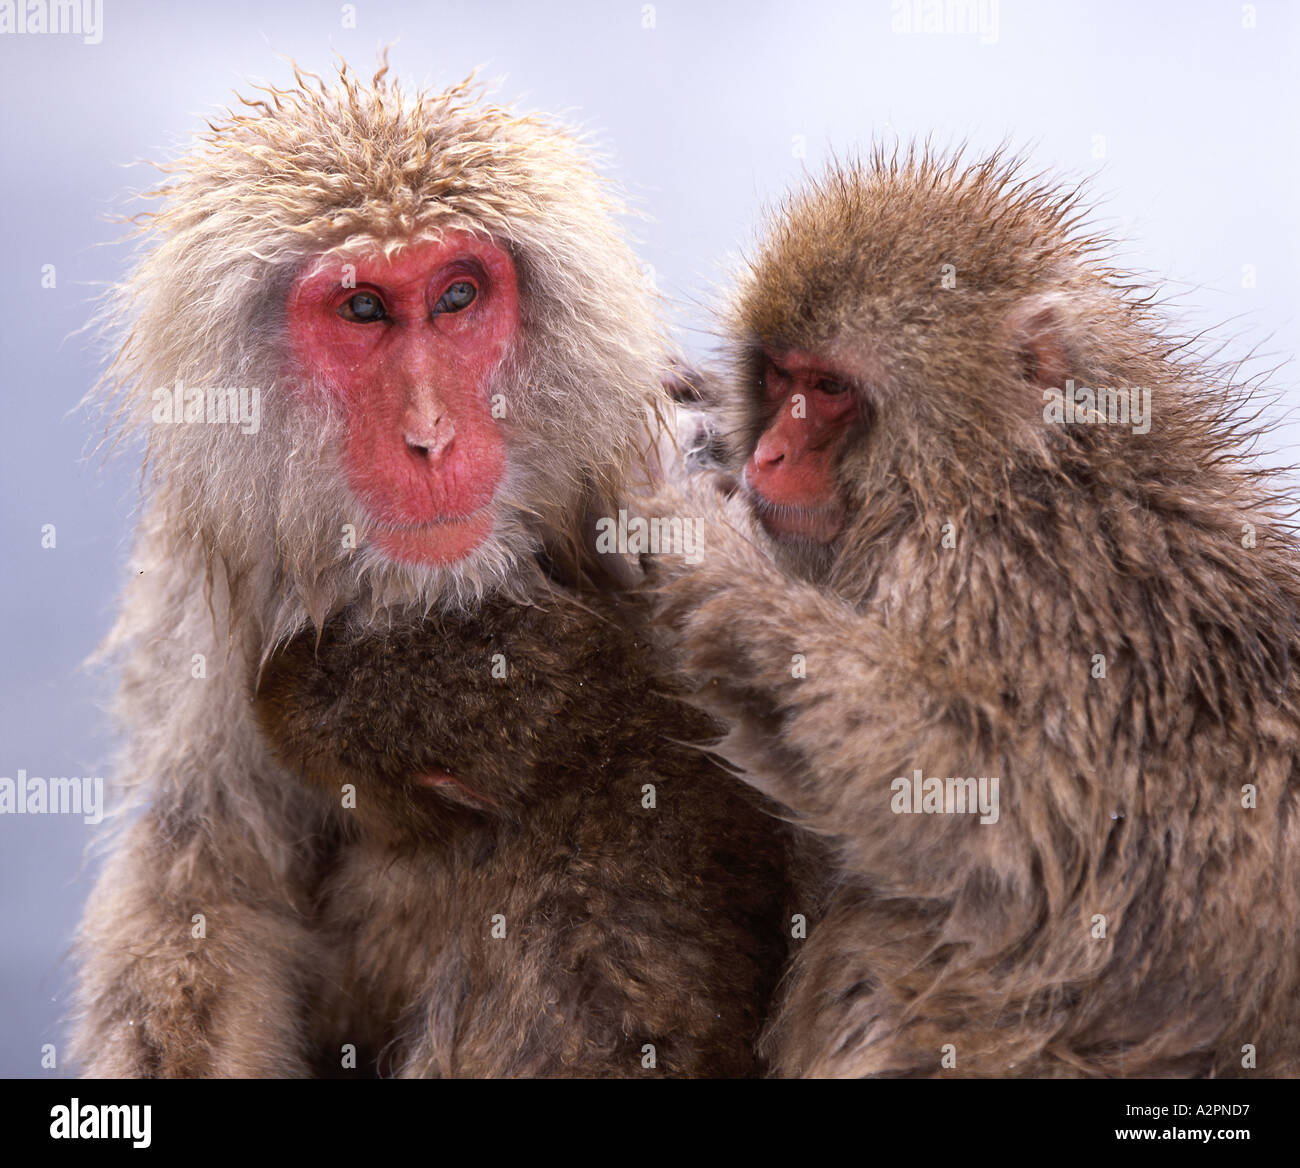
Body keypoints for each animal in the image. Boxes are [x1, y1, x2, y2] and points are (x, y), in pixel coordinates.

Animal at [640, 146, 1300, 1078]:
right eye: (777, 377)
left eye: (830, 389)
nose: (768, 454)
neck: (996, 468)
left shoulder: (1009, 579)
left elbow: (993, 811)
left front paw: (693, 533)